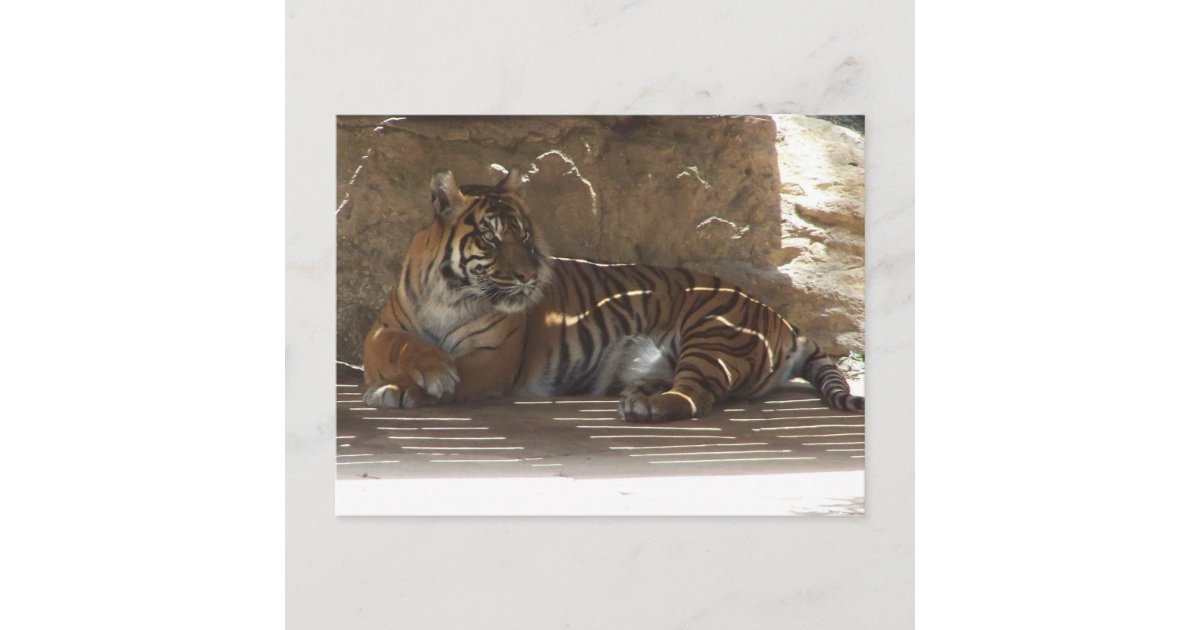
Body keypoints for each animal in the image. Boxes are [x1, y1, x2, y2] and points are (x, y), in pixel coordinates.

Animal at [361, 167, 865, 422]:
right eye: (490, 237)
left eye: (524, 236)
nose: (528, 277)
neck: (449, 293)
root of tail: (778, 316)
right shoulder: (381, 330)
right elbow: (395, 346)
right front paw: (410, 375)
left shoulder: (489, 362)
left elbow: (451, 380)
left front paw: (409, 387)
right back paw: (641, 390)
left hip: (713, 332)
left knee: (696, 396)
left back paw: (647, 406)